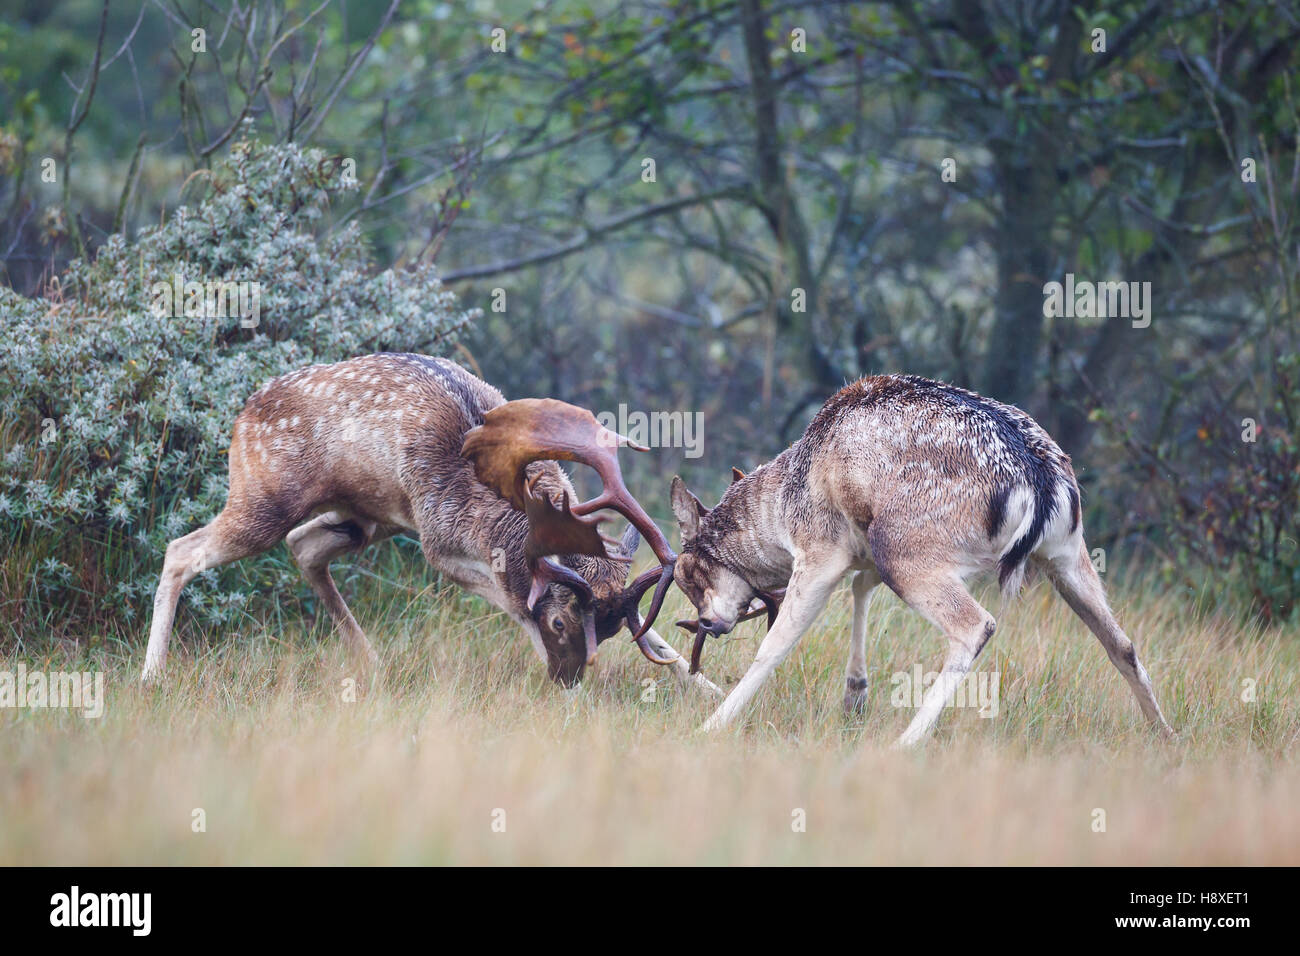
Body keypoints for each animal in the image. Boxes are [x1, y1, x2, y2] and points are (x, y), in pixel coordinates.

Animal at [141, 352, 718, 697]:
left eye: (619, 627)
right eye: (559, 623)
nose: (566, 680)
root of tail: (240, 415)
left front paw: (703, 685)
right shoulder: (441, 543)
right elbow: (514, 603)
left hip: (367, 516)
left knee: (303, 546)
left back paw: (372, 663)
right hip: (264, 496)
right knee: (181, 549)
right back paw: (152, 675)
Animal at [665, 374, 1176, 747]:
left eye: (689, 574)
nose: (708, 624)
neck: (783, 503)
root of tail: (1045, 482)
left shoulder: (821, 549)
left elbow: (776, 644)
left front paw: (711, 725)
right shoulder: (862, 549)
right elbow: (860, 589)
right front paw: (854, 695)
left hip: (906, 549)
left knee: (976, 624)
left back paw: (906, 743)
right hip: (1066, 554)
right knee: (1122, 644)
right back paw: (1166, 734)